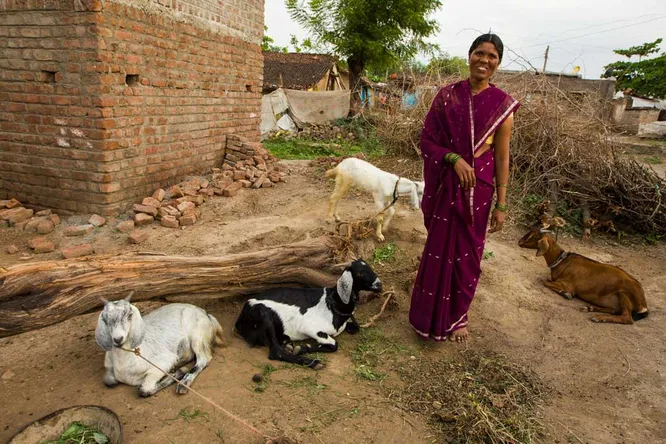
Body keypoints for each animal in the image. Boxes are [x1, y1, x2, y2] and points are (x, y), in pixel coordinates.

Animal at [94, 294, 223, 398]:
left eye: (129, 315)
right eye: (105, 319)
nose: (118, 339)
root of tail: (206, 314)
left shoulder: (163, 361)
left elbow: (144, 388)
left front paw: (179, 373)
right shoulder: (109, 369)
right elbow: (108, 380)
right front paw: (175, 371)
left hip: (197, 335)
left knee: (203, 359)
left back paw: (183, 383)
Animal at [232, 258, 382, 370]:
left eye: (370, 268)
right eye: (360, 273)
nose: (379, 285)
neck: (333, 303)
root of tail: (240, 319)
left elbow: (354, 328)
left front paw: (304, 347)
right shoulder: (310, 328)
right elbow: (334, 344)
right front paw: (303, 348)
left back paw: (287, 344)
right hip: (264, 315)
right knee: (276, 353)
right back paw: (313, 363)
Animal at [516, 227, 644, 324]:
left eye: (533, 235)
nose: (519, 242)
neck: (562, 261)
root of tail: (643, 304)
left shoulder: (568, 285)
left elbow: (545, 282)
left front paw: (566, 294)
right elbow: (547, 279)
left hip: (624, 294)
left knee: (627, 318)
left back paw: (598, 318)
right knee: (614, 310)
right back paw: (589, 308)